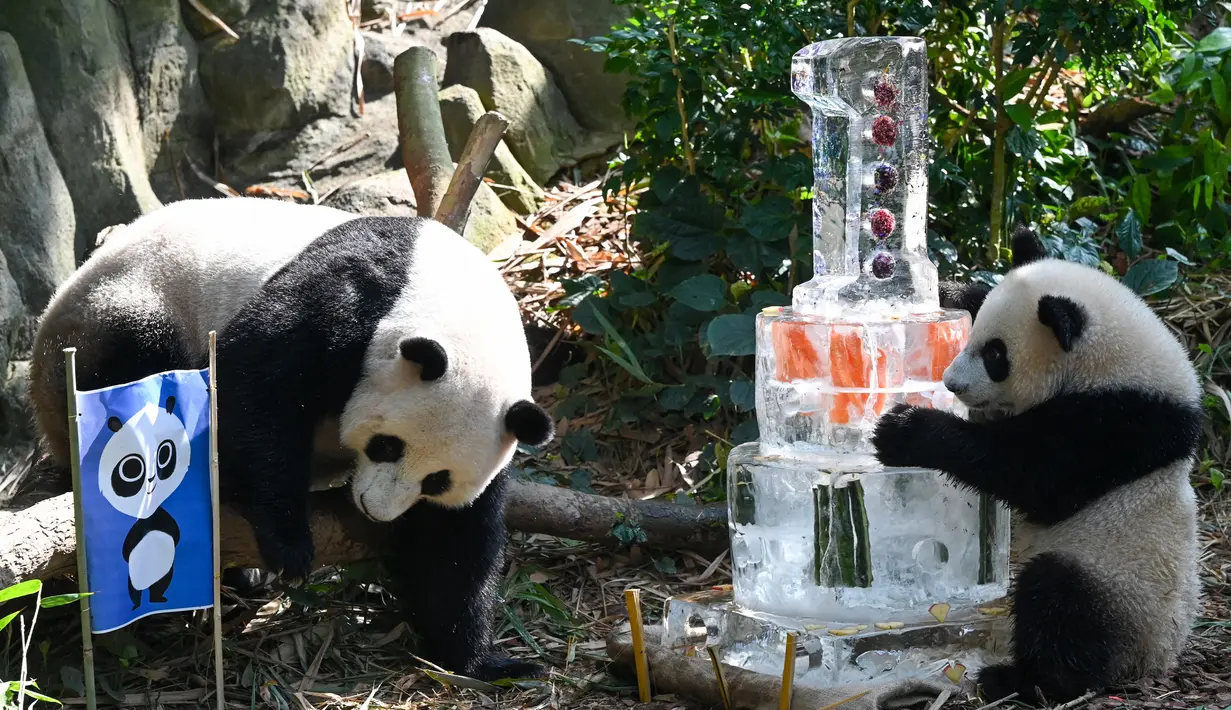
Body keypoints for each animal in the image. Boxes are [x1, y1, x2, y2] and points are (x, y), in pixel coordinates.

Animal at [98, 395, 192, 610]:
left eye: (164, 453)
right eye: (131, 468)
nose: (151, 478)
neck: (151, 514)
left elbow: (175, 532)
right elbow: (126, 549)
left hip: (165, 573)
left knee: (159, 586)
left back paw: (157, 599)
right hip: (133, 579)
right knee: (134, 592)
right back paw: (136, 605)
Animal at [873, 227, 1203, 704]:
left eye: (996, 356)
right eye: (974, 334)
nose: (951, 383)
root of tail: (1154, 661)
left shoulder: (1118, 425)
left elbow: (1034, 476)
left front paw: (905, 430)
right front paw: (949, 293)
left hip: (1120, 580)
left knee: (1061, 603)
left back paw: (1022, 681)